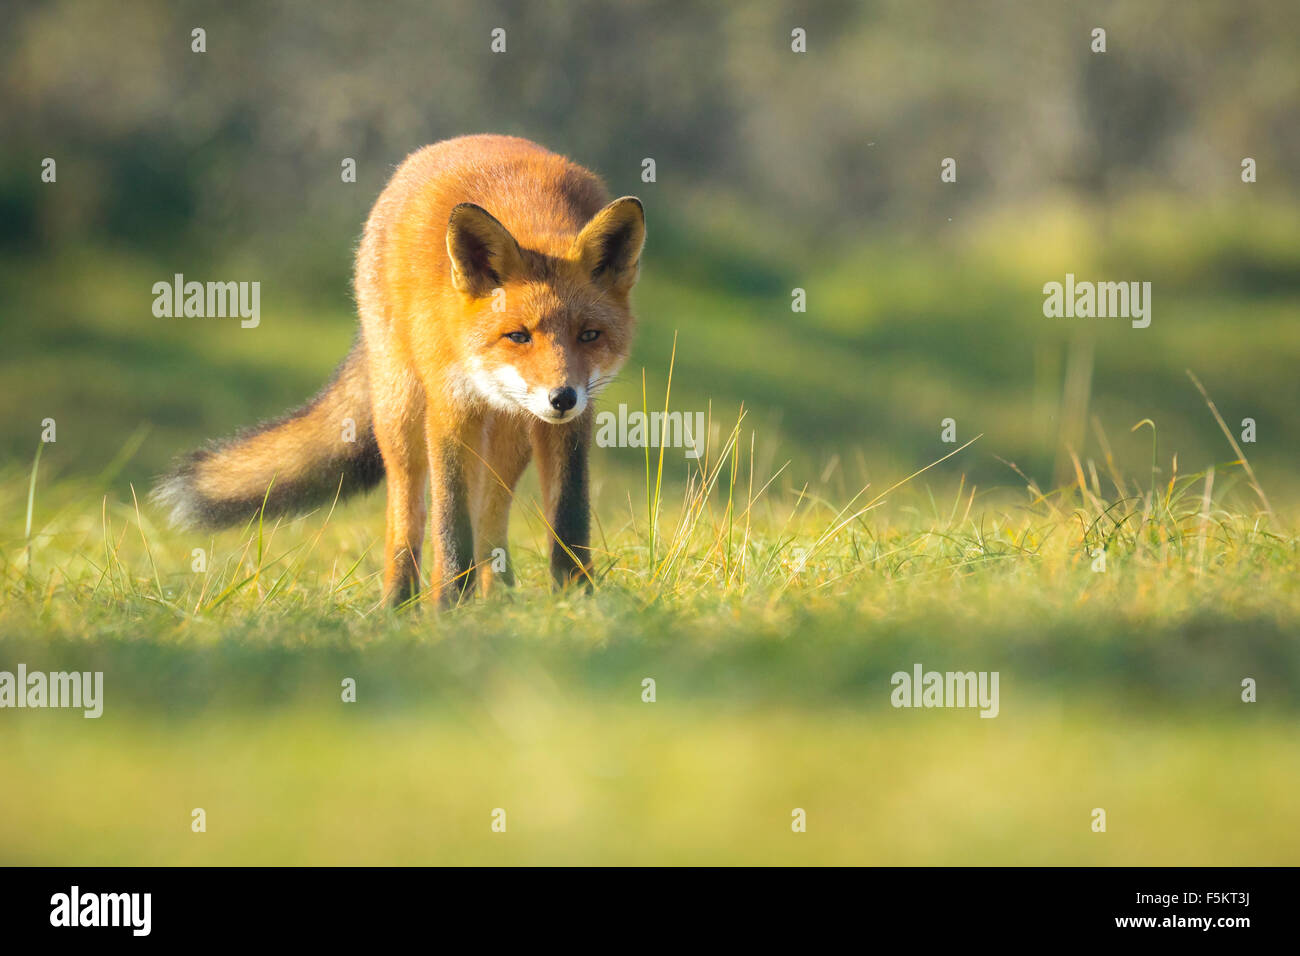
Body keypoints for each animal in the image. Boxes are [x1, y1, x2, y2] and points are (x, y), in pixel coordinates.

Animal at [153, 134, 645, 606]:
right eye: (519, 336)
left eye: (589, 335)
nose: (562, 397)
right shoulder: (450, 410)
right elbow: (450, 524)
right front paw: (450, 609)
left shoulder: (571, 423)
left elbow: (568, 519)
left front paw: (578, 600)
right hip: (402, 413)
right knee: (407, 517)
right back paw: (399, 605)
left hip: (513, 435)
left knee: (492, 517)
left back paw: (498, 602)